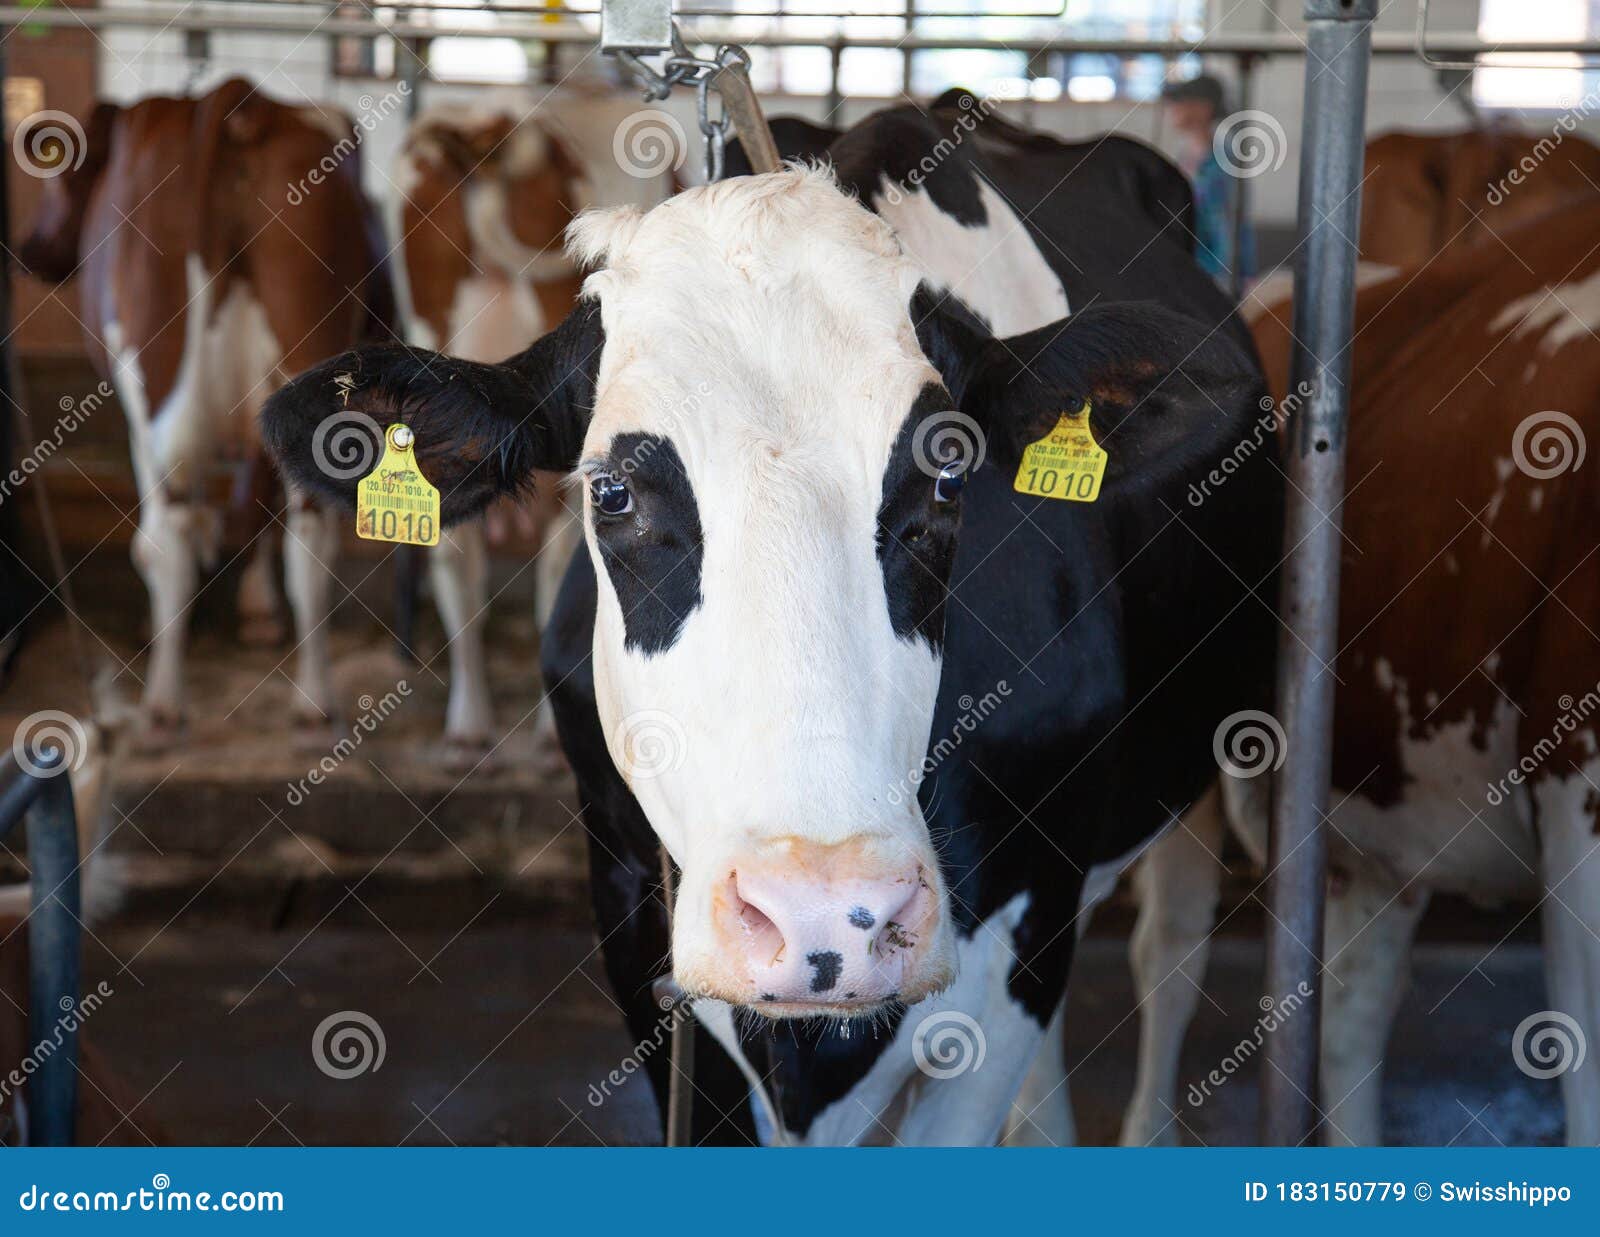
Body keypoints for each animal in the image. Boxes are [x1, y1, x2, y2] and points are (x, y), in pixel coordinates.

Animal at [15, 78, 394, 747]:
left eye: (60, 179)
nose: (28, 251)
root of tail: (239, 101)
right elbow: (255, 503)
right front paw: (259, 612)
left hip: (159, 383)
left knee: (170, 533)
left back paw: (163, 705)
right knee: (311, 534)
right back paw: (315, 702)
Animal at [259, 95, 1283, 1145]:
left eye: (950, 475)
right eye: (611, 491)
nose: (825, 915)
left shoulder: (1026, 921)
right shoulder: (636, 923)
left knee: (1169, 951)